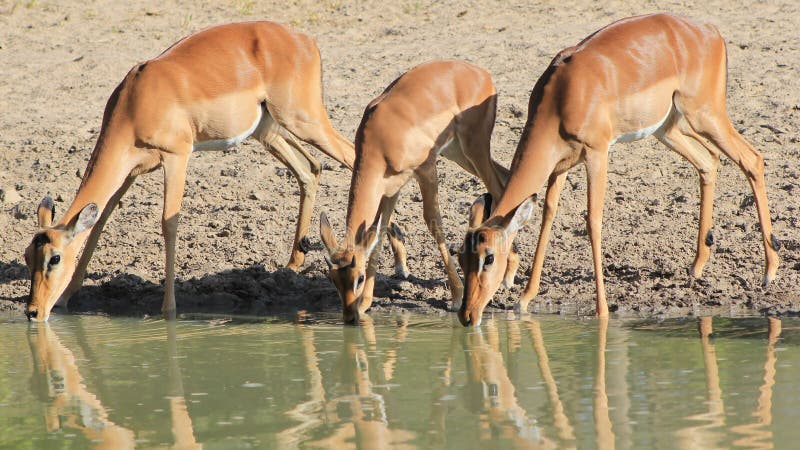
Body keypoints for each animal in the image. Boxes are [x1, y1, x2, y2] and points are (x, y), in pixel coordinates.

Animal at [23, 21, 407, 321]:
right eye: (28, 256)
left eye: (54, 258)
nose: (33, 311)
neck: (136, 100)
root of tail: (302, 38)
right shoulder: (130, 171)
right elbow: (99, 222)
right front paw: (67, 298)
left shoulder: (177, 156)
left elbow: (169, 223)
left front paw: (169, 309)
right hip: (268, 130)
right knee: (311, 168)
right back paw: (293, 263)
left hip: (305, 120)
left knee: (353, 159)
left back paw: (400, 262)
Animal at [319, 60, 511, 324]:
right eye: (334, 279)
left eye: (358, 277)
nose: (349, 317)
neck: (380, 141)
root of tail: (481, 73)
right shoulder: (390, 189)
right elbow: (379, 233)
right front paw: (366, 303)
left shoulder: (426, 168)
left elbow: (433, 221)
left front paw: (456, 297)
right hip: (458, 153)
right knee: (505, 177)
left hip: (474, 148)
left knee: (499, 188)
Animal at [457, 13, 781, 326]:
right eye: (462, 257)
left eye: (488, 258)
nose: (467, 315)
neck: (564, 95)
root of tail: (710, 30)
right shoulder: (559, 166)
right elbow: (548, 214)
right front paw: (524, 299)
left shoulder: (597, 154)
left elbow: (593, 221)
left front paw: (601, 310)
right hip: (668, 128)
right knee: (709, 161)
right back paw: (697, 265)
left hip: (706, 115)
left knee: (752, 159)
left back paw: (769, 271)